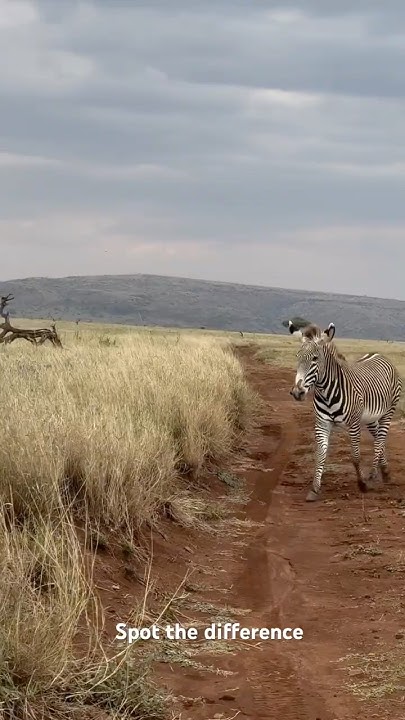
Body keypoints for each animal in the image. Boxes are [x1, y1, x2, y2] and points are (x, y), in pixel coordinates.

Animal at [288, 321, 402, 502]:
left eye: (315, 358)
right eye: (297, 357)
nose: (297, 393)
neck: (326, 392)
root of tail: (378, 354)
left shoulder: (354, 424)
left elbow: (355, 456)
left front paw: (362, 484)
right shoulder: (322, 423)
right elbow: (320, 455)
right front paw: (314, 489)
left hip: (388, 412)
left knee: (380, 440)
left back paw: (373, 474)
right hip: (371, 418)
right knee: (378, 437)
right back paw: (385, 472)